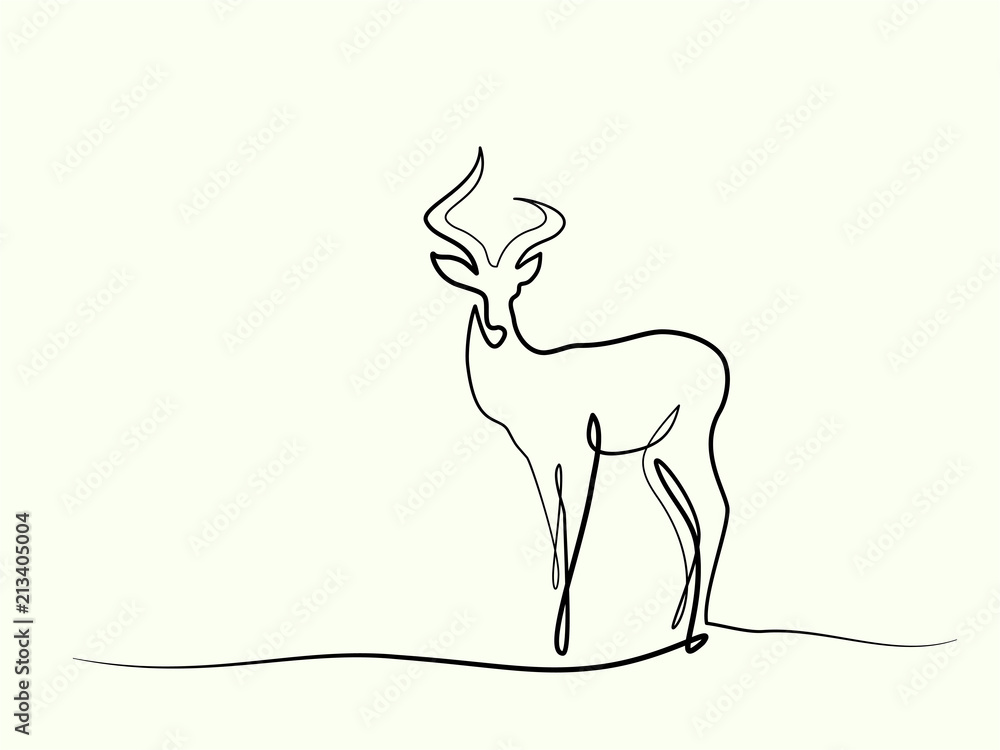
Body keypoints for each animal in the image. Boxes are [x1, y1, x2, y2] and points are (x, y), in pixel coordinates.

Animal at [424, 148, 732, 656]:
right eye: (478, 288)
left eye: (514, 290)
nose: (497, 329)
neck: (531, 375)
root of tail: (719, 361)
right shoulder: (538, 459)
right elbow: (555, 524)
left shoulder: (581, 453)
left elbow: (576, 528)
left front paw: (562, 639)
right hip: (654, 456)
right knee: (685, 521)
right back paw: (675, 626)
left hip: (686, 445)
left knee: (714, 510)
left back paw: (694, 635)